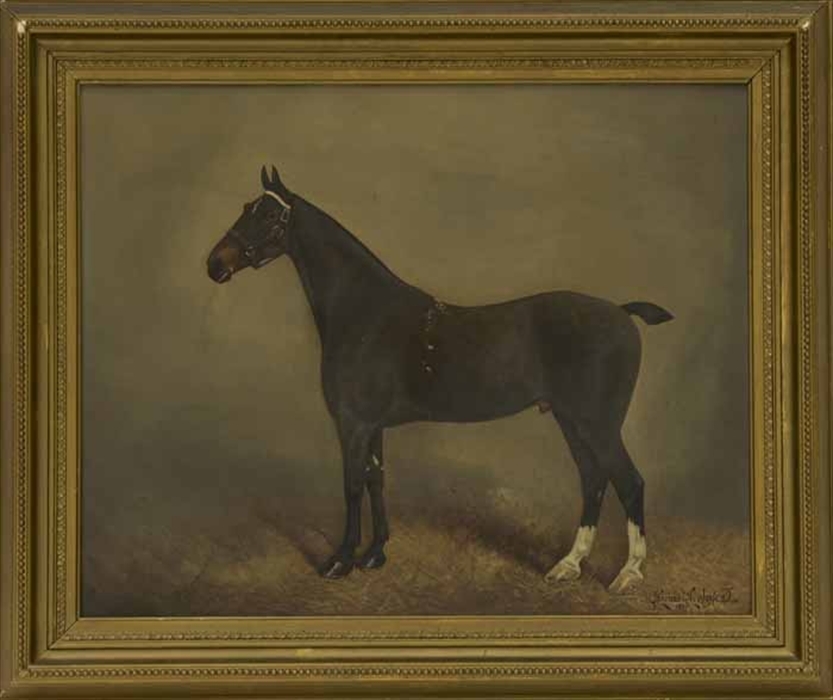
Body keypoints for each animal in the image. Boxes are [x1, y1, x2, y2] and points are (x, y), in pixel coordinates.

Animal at [206, 166, 674, 594]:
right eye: (247, 208)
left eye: (269, 215)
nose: (215, 264)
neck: (364, 312)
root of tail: (621, 312)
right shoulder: (372, 427)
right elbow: (376, 479)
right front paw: (374, 554)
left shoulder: (353, 424)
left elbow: (353, 485)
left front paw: (340, 561)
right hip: (571, 421)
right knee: (593, 481)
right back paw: (568, 565)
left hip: (598, 424)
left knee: (629, 483)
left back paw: (628, 574)